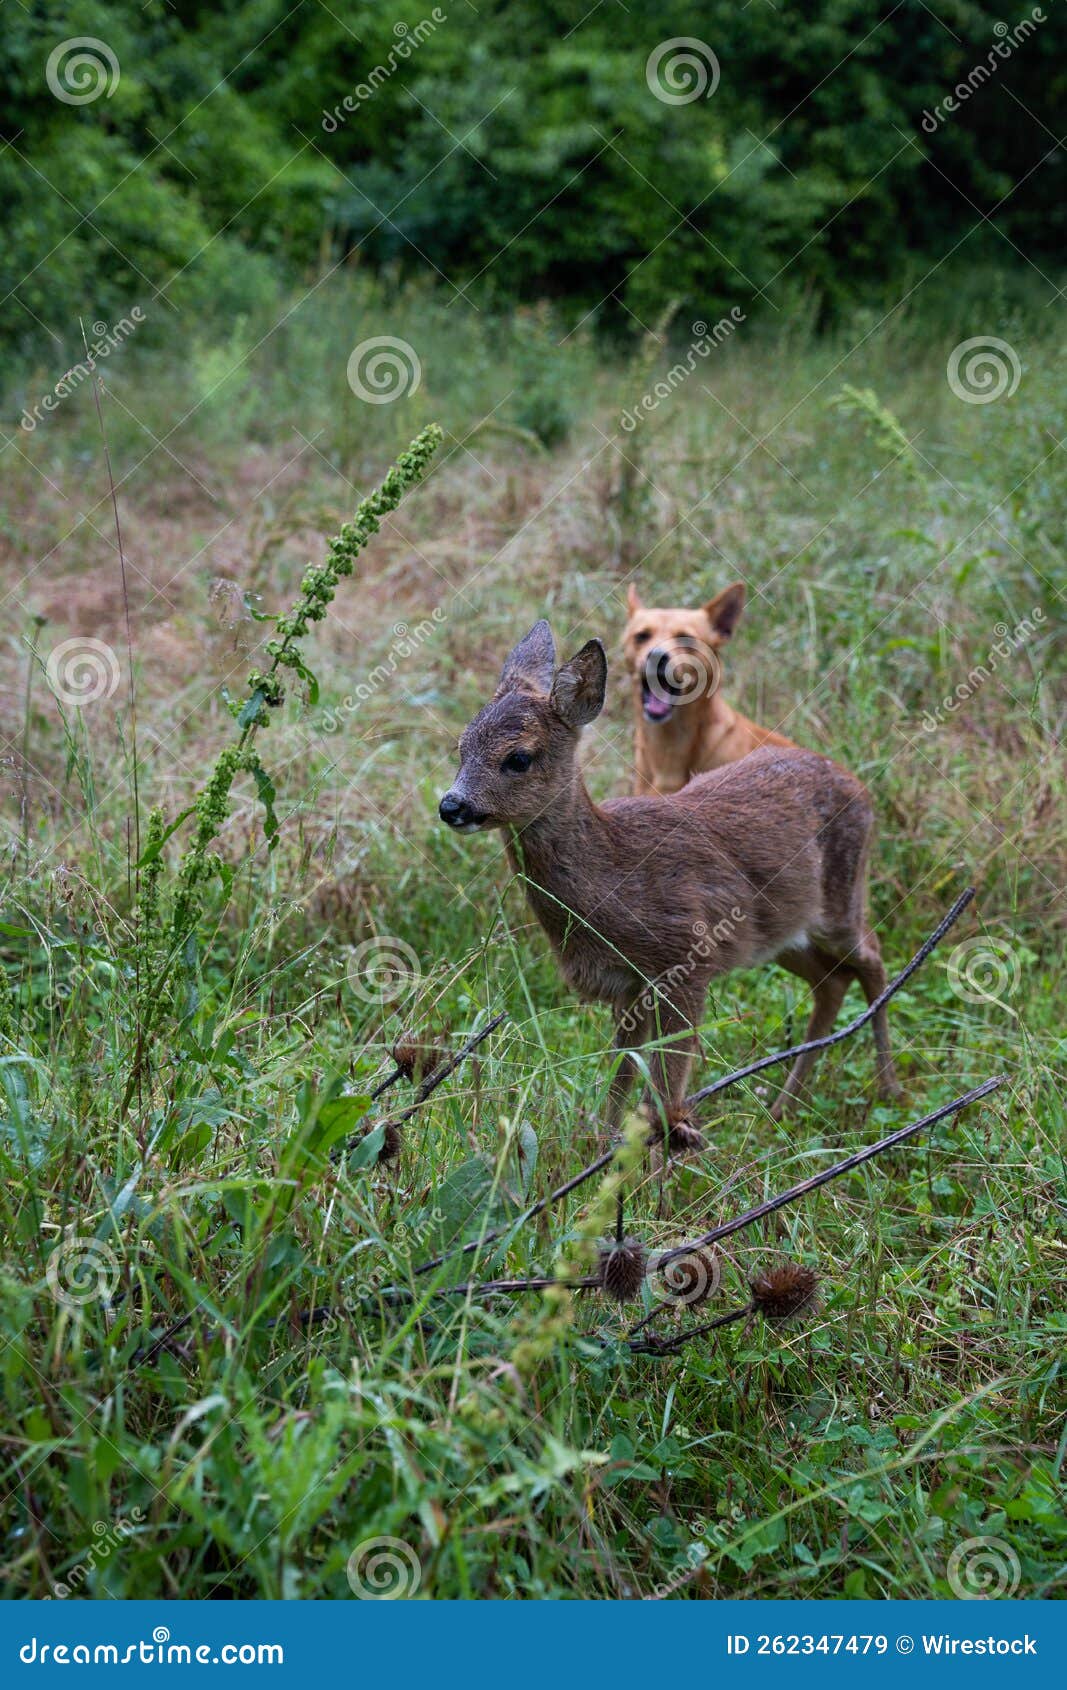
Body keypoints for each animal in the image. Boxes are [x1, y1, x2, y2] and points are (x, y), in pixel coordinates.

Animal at [439, 621, 900, 1142]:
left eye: (518, 758)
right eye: (461, 747)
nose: (452, 806)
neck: (614, 874)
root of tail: (860, 787)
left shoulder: (687, 959)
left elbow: (664, 1094)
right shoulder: (629, 986)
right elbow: (622, 1074)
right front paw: (599, 1144)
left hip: (841, 899)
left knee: (873, 959)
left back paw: (889, 1089)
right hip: (781, 934)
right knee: (831, 981)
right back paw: (785, 1105)